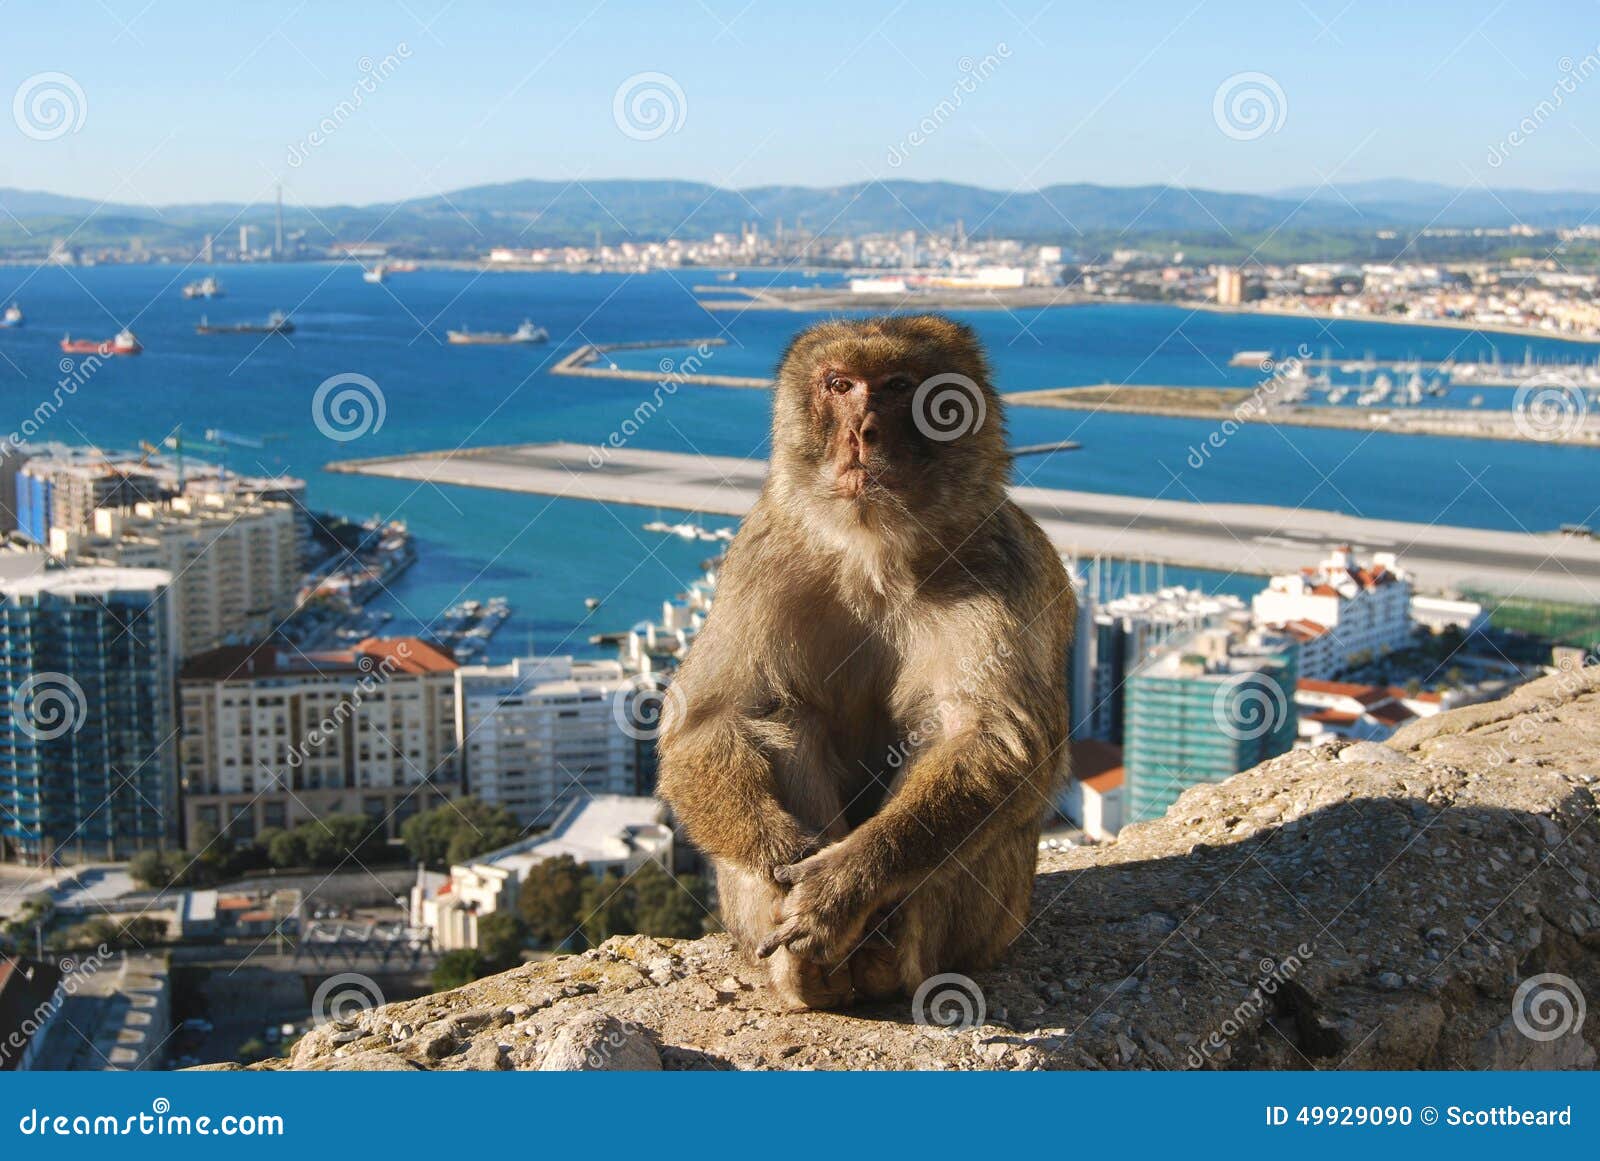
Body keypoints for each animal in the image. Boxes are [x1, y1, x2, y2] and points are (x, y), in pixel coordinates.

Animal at [656, 314, 1074, 1011]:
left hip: (994, 924)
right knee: (783, 718)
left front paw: (842, 885)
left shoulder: (1001, 563)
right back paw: (811, 973)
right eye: (840, 385)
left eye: (899, 387)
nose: (862, 431)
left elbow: (991, 735)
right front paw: (778, 856)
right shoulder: (762, 555)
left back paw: (881, 955)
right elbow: (711, 717)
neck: (872, 550)